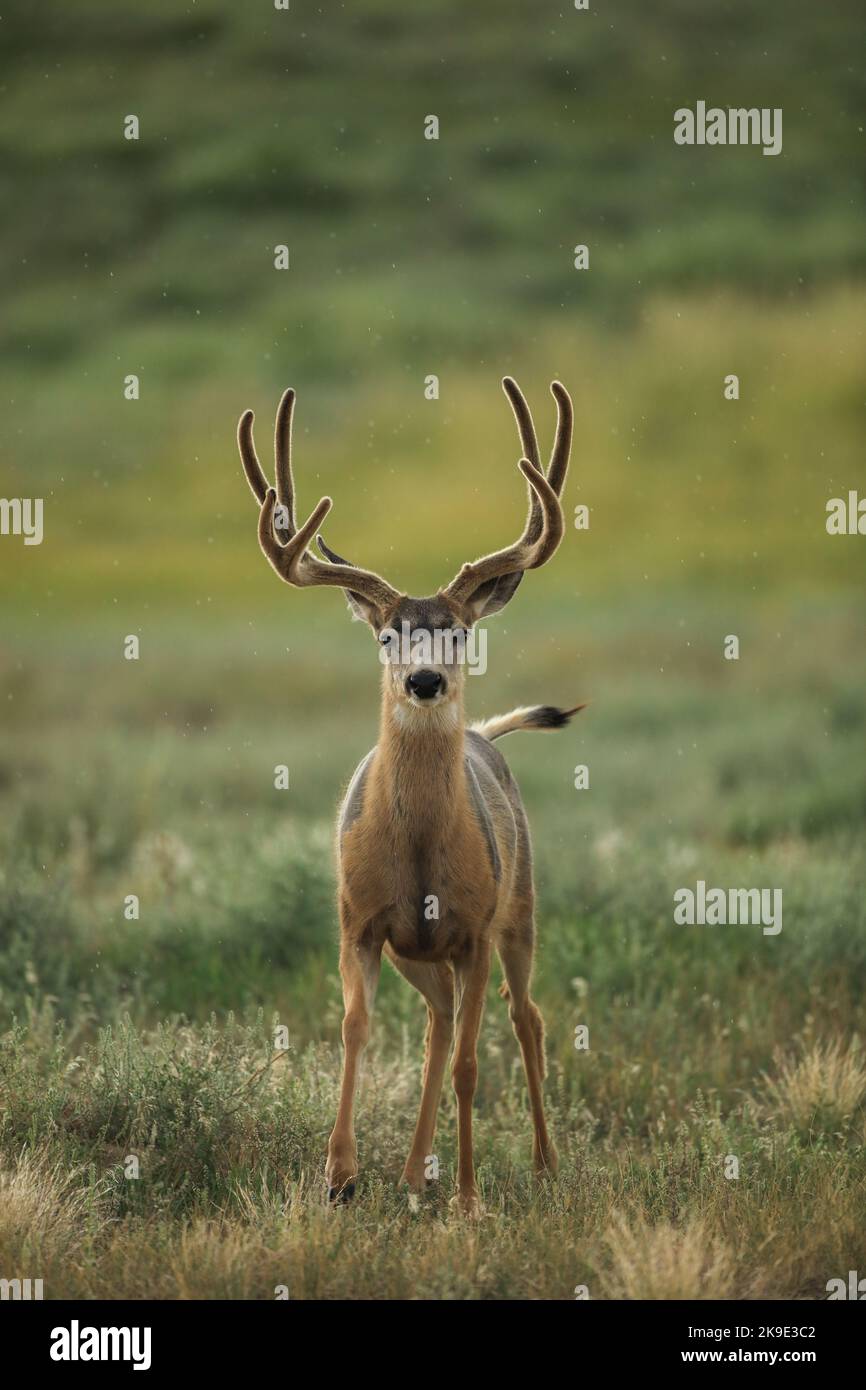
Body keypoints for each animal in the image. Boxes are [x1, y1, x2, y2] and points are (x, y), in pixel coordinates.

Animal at [237, 377, 583, 1216]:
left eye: (456, 629)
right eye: (388, 634)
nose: (424, 681)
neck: (421, 849)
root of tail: (490, 738)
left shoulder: (475, 931)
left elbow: (470, 1065)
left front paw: (468, 1198)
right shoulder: (358, 923)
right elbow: (355, 1029)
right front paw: (340, 1176)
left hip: (519, 909)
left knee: (524, 1019)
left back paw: (542, 1167)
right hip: (416, 953)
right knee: (438, 1022)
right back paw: (409, 1171)